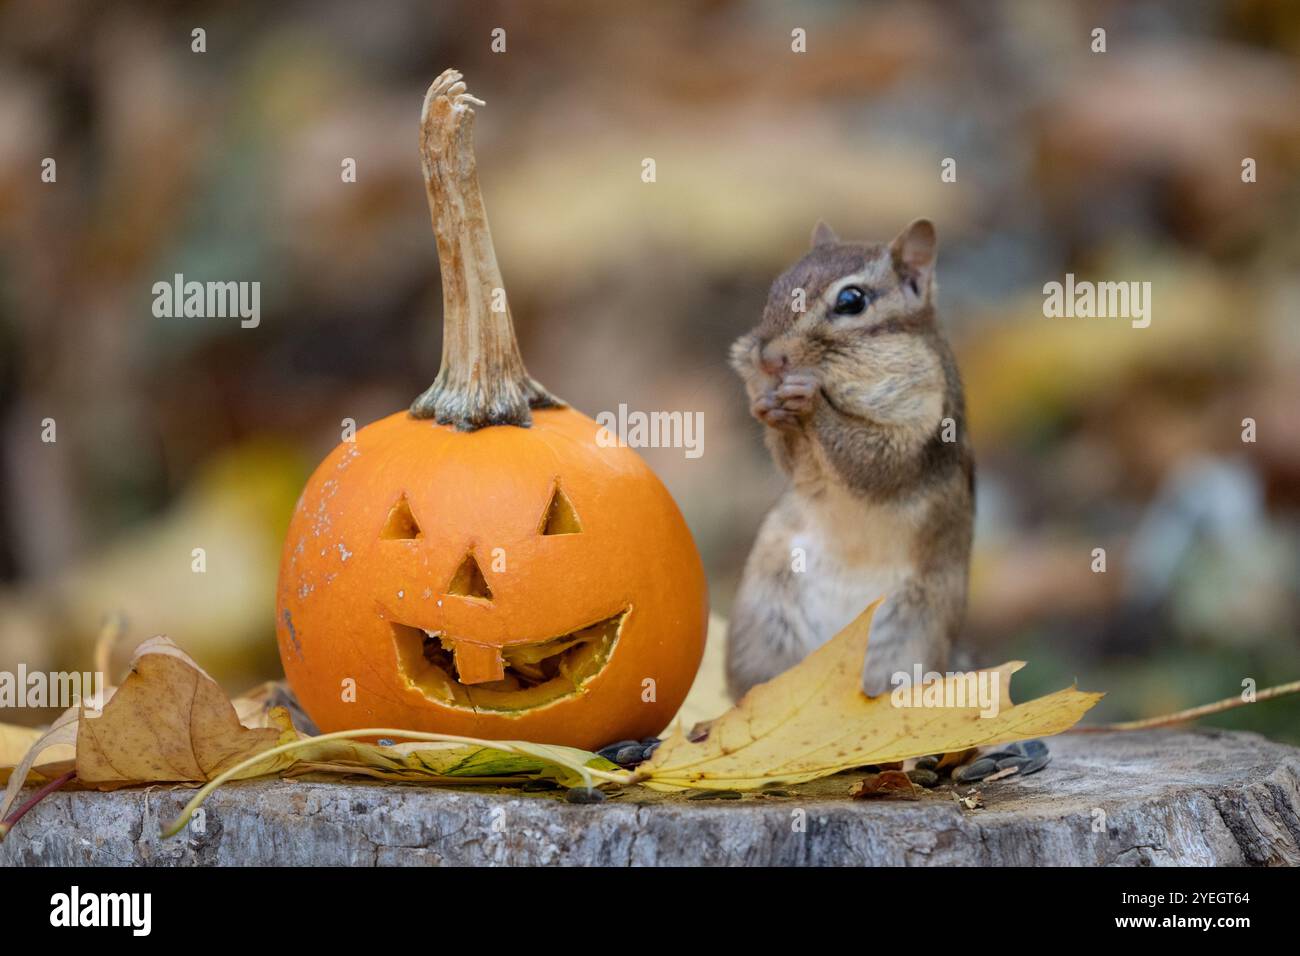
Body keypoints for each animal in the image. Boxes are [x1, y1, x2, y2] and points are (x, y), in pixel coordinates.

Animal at [726, 219, 974, 700]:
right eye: (776, 288)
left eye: (851, 301)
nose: (768, 360)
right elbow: (796, 465)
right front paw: (767, 408)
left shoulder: (916, 427)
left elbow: (873, 463)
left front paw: (810, 400)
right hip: (763, 626)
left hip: (912, 643)